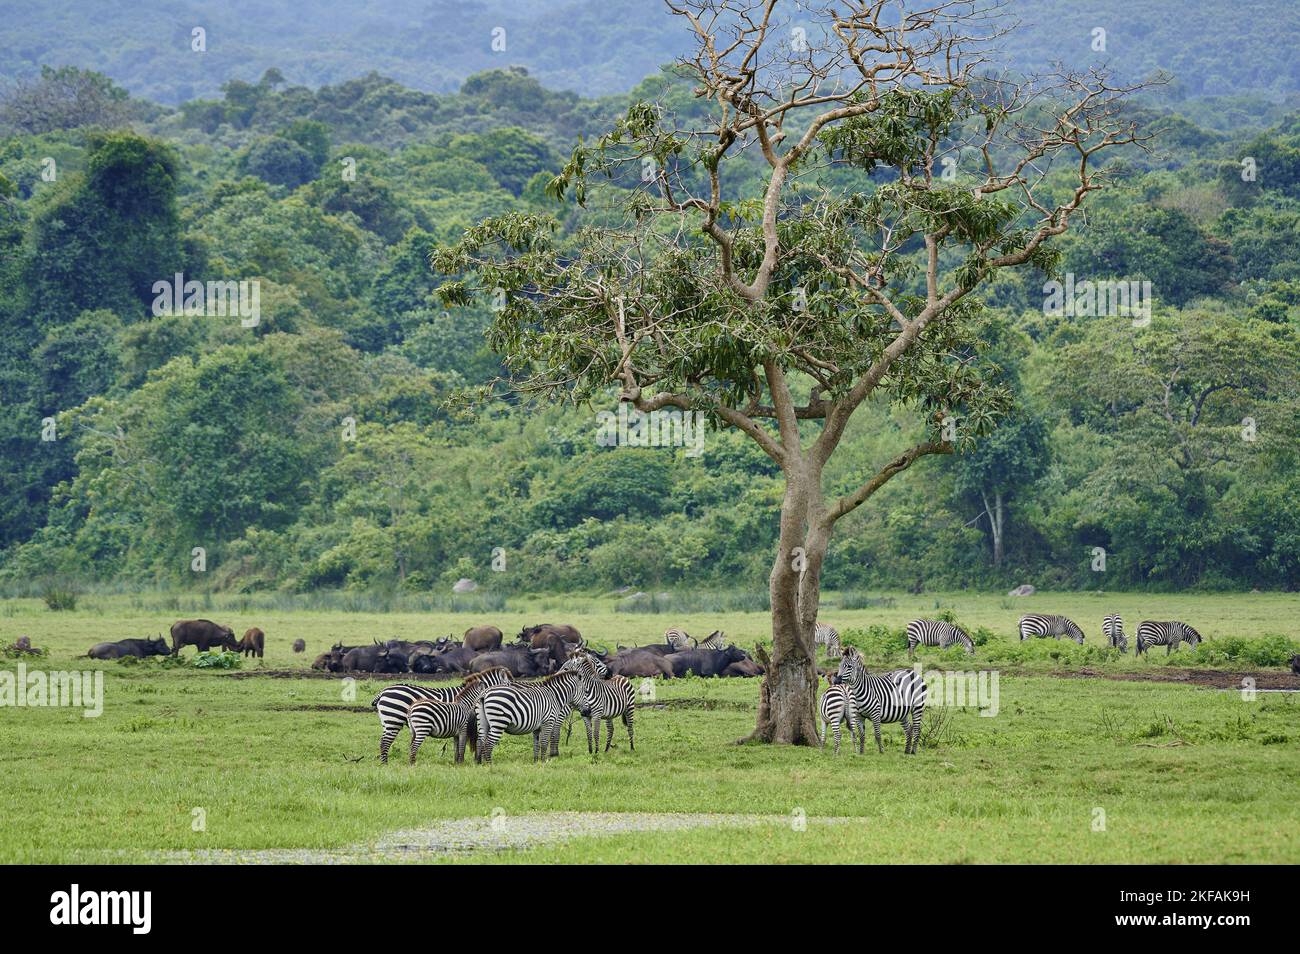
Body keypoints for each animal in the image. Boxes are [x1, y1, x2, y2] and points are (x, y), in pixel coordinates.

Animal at [372, 668, 511, 763]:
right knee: (385, 742)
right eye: (510, 685)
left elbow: (459, 744)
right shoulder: (470, 722)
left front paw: (458, 761)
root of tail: (383, 692)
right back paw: (385, 764)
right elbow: (473, 742)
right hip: (393, 720)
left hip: (387, 722)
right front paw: (476, 761)